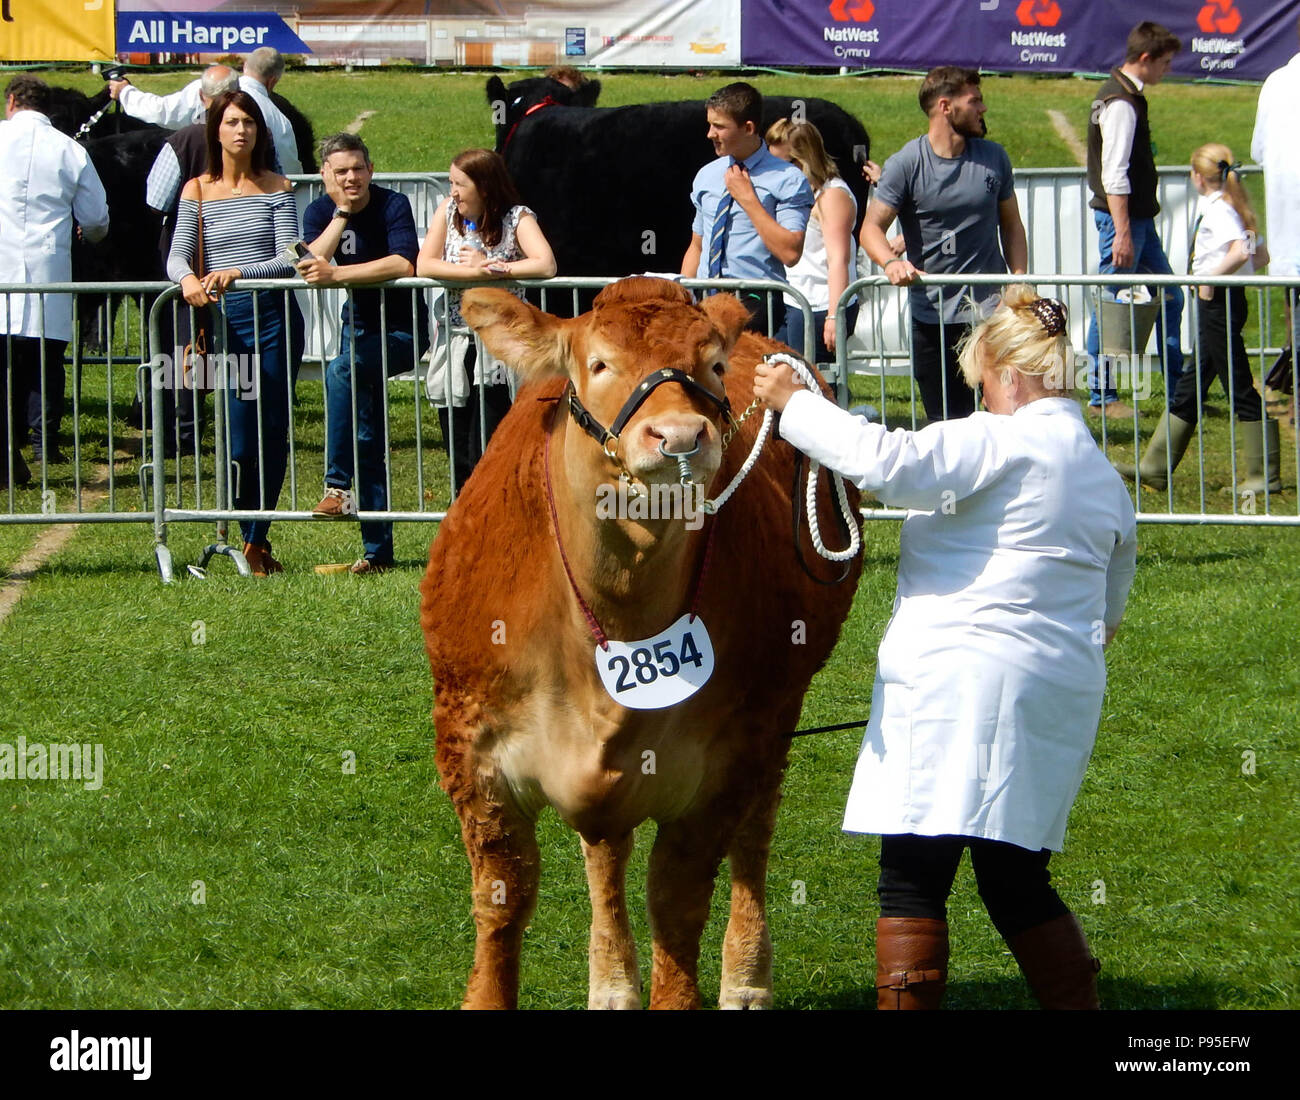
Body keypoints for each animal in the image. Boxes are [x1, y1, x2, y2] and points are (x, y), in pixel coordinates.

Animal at [420, 277, 861, 1009]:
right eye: (599, 364)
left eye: (712, 364)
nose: (681, 435)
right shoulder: (469, 741)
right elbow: (504, 895)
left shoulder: (730, 753)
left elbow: (677, 902)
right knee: (606, 850)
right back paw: (612, 984)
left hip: (778, 715)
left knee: (755, 838)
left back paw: (746, 979)